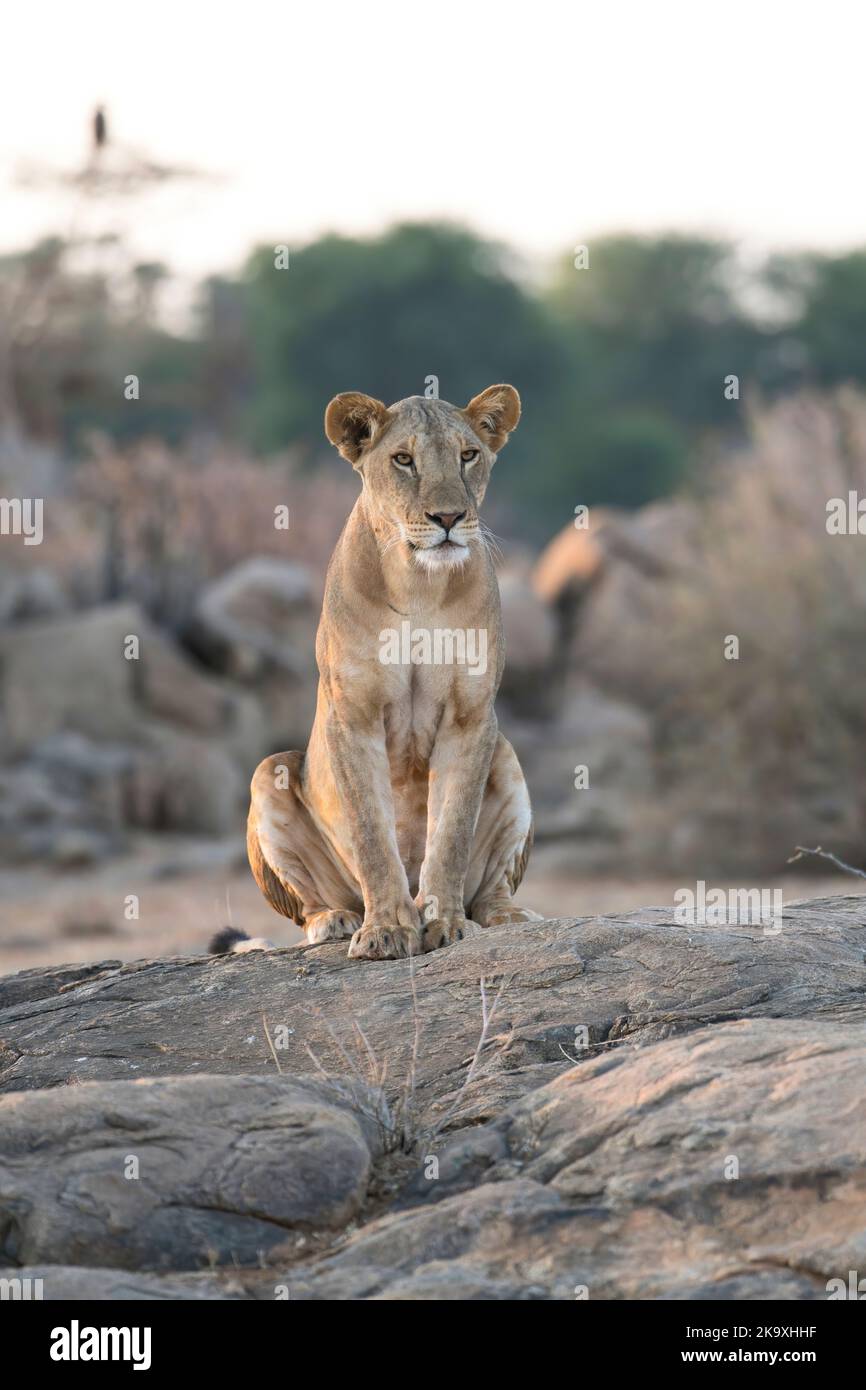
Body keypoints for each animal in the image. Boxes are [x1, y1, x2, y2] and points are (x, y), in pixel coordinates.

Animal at [219, 384, 541, 961]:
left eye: (468, 455)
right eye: (403, 460)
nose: (448, 517)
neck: (419, 583)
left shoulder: (471, 717)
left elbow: (451, 831)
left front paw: (445, 922)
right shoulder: (353, 715)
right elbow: (372, 832)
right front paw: (387, 928)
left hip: (505, 755)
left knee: (493, 886)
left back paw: (506, 915)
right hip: (268, 771)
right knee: (310, 904)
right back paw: (337, 921)